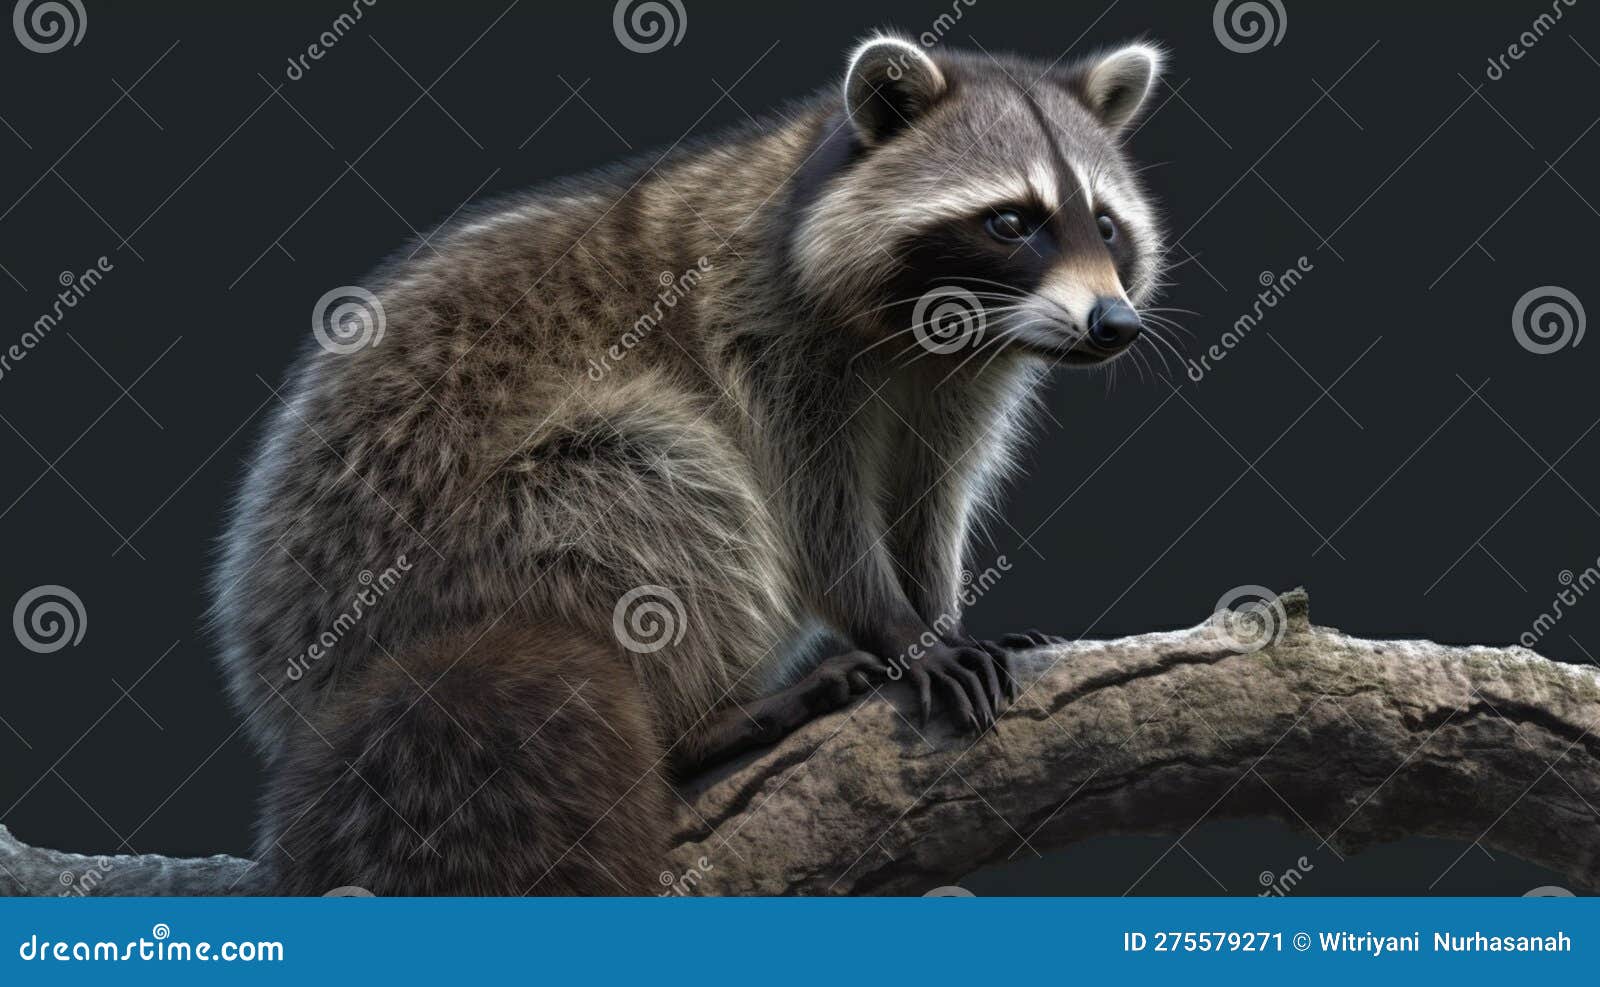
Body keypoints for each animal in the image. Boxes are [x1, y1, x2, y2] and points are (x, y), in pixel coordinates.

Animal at [211, 34, 1168, 895]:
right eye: (1011, 221)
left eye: (1105, 223)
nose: (1113, 324)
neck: (935, 331)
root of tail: (320, 688)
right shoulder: (761, 329)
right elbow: (808, 507)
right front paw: (901, 629)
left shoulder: (959, 380)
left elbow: (926, 497)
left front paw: (940, 608)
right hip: (471, 536)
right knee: (660, 482)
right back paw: (705, 720)